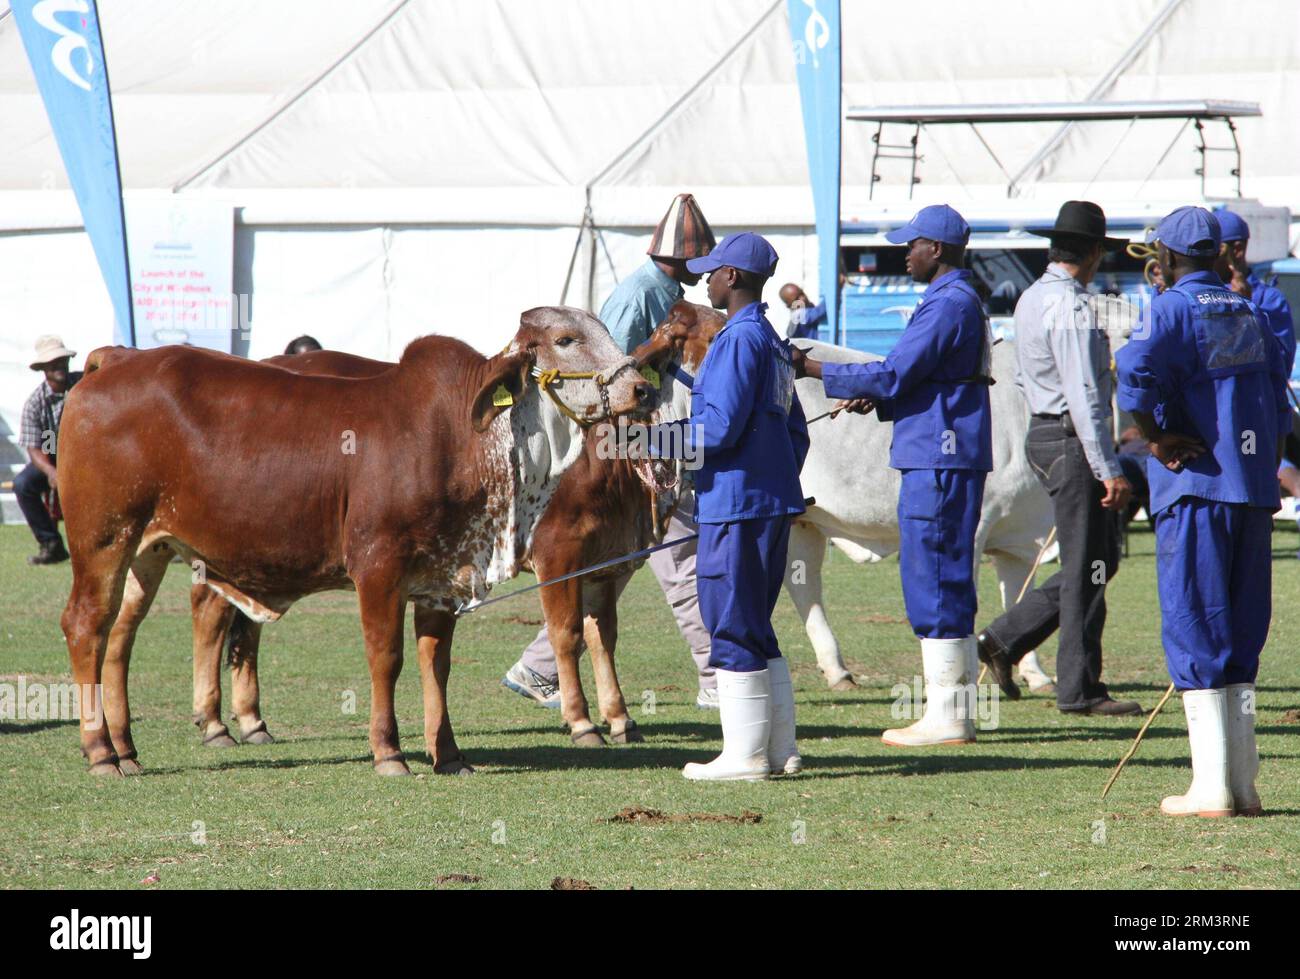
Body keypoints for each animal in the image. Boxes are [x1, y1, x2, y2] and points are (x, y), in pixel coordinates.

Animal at [57, 308, 652, 777]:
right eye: (567, 339)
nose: (642, 388)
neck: (465, 436)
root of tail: (115, 358)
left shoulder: (444, 579)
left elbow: (435, 662)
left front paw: (448, 754)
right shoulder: (379, 567)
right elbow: (386, 657)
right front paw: (389, 752)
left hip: (148, 550)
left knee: (120, 636)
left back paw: (126, 746)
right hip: (102, 539)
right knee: (87, 626)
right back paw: (101, 751)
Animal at [634, 301, 1056, 690]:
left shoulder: (1019, 540)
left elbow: (1018, 596)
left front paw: (1032, 671)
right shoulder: (974, 525)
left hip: (800, 519)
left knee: (803, 583)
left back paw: (836, 669)